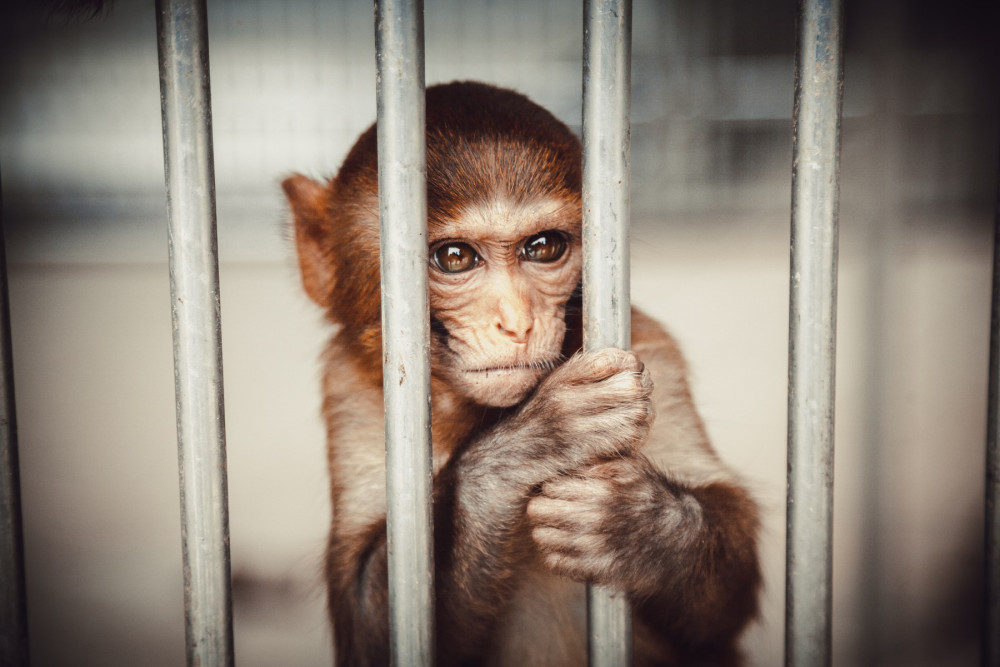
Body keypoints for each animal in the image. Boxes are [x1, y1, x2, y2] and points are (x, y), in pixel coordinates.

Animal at [283, 81, 761, 667]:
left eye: (544, 248)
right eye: (455, 257)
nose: (517, 321)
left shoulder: (652, 351)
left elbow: (719, 611)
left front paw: (635, 523)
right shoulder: (349, 386)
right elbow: (370, 615)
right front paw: (533, 440)